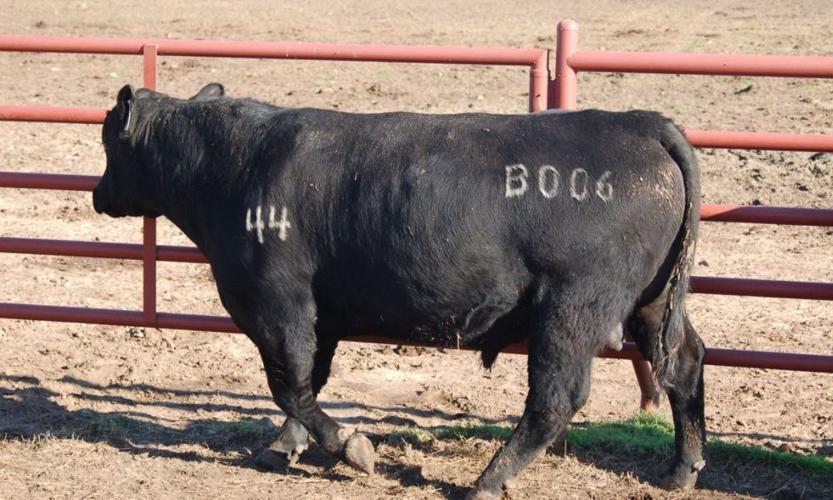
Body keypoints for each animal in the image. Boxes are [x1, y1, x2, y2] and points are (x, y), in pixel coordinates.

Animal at [93, 83, 706, 499]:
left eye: (108, 144)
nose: (98, 194)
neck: (237, 165)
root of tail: (642, 124)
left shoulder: (275, 302)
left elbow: (290, 384)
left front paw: (350, 447)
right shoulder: (319, 313)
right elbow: (307, 379)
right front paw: (283, 447)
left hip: (572, 308)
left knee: (555, 399)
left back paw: (487, 480)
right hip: (650, 303)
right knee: (683, 362)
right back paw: (681, 471)